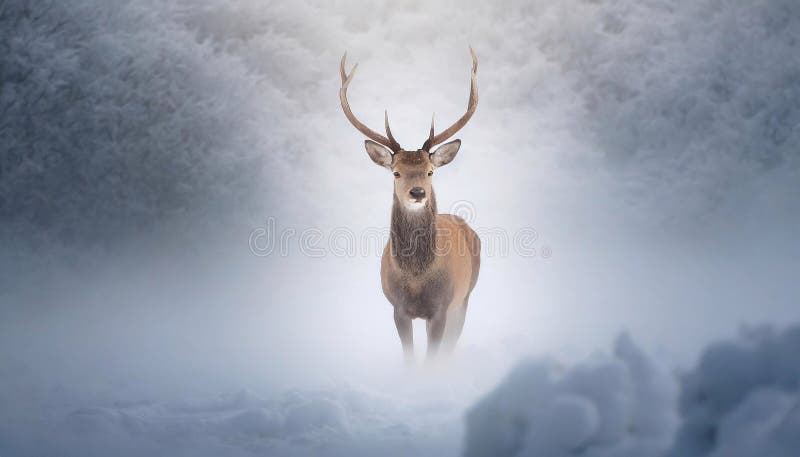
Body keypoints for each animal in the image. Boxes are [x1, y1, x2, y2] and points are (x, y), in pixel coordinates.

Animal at [339, 48, 481, 363]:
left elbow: (431, 359)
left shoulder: (442, 307)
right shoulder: (397, 308)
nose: (417, 192)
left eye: (430, 171)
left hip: (467, 294)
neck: (417, 281)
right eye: (396, 173)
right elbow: (410, 359)